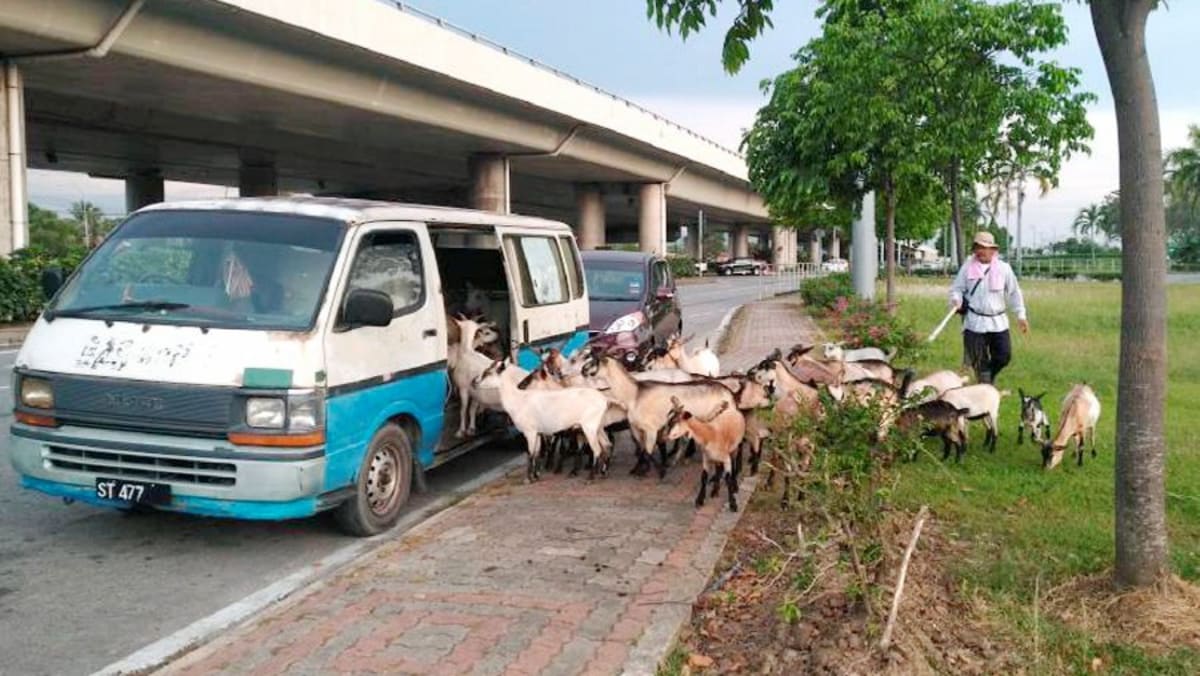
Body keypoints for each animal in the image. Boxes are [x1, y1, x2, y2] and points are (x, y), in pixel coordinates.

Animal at [473, 360, 613, 482]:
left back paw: (591, 478)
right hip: (599, 427)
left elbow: (529, 453)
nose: (475, 381)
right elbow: (536, 453)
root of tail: (603, 399)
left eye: (487, 372)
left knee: (597, 449)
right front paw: (536, 476)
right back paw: (603, 473)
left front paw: (528, 479)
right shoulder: (537, 432)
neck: (518, 399)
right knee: (607, 445)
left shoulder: (529, 432)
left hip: (589, 427)